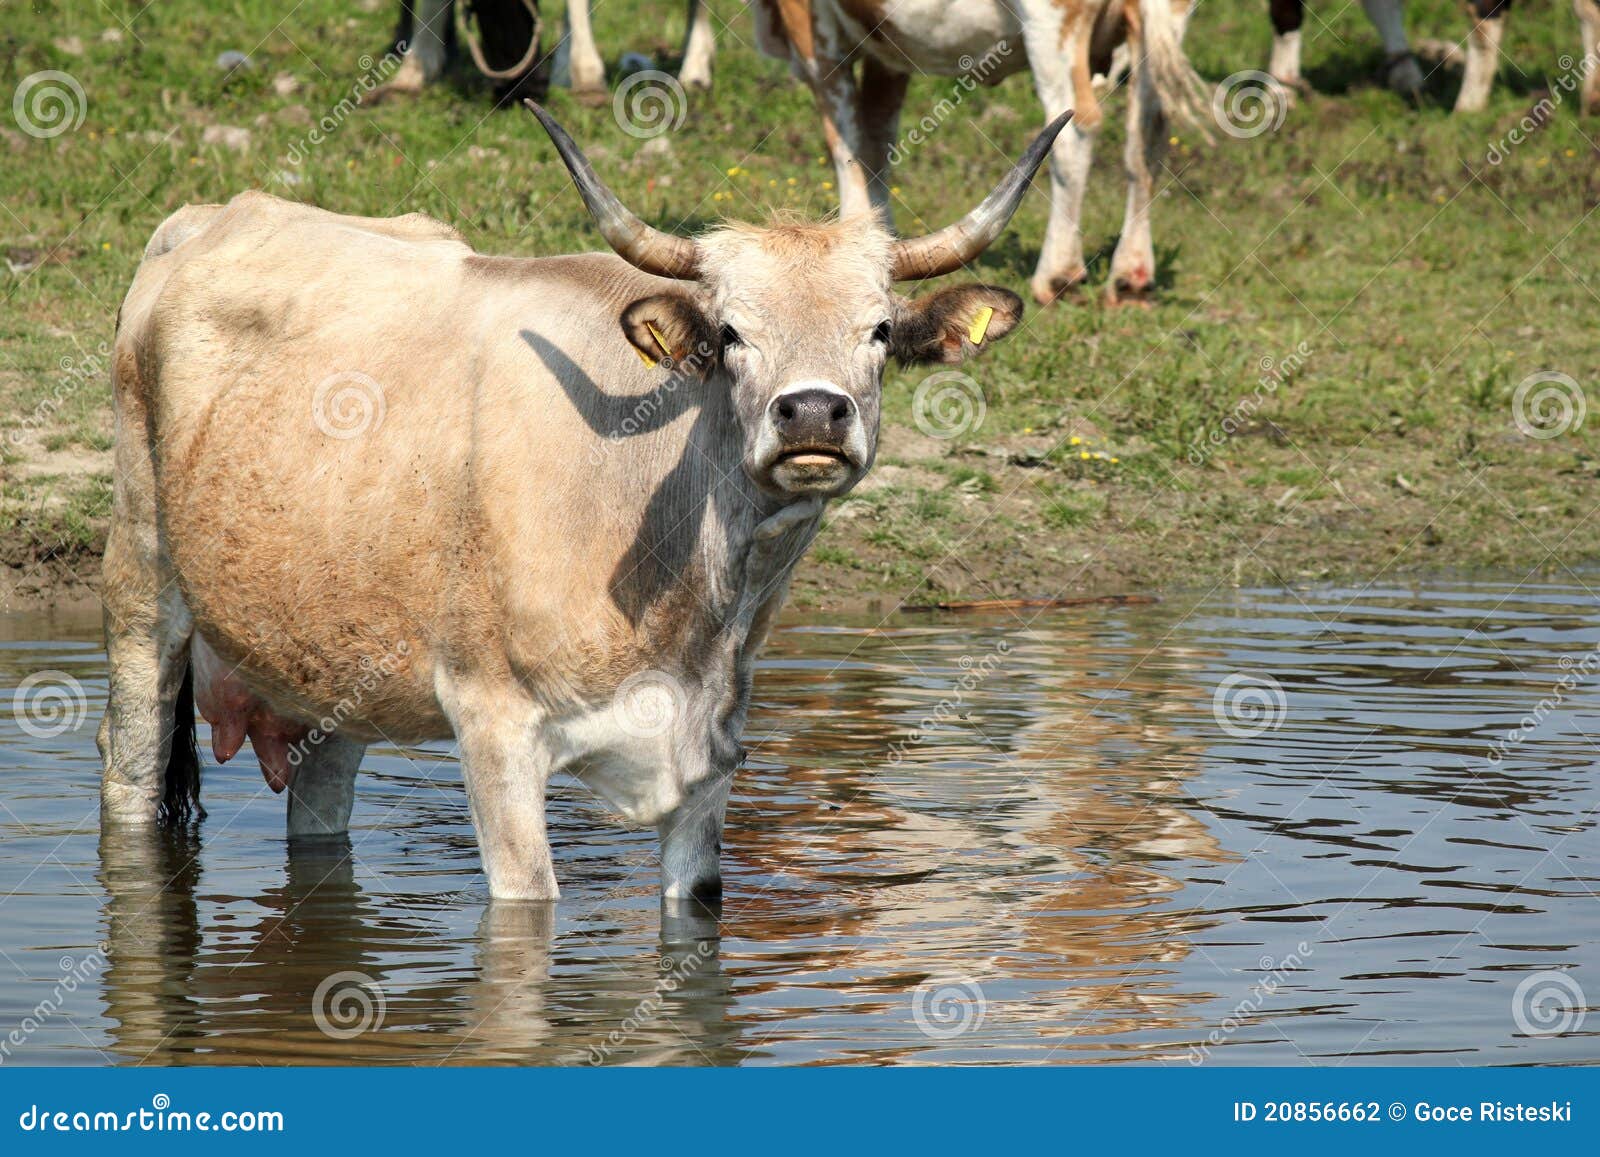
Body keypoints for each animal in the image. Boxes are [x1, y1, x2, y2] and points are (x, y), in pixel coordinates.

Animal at [96, 103, 1069, 902]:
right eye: (730, 334)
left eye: (879, 330)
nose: (812, 414)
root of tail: (208, 217)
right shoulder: (495, 731)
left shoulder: (709, 765)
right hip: (142, 584)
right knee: (129, 769)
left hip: (333, 663)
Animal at [750, 0, 1209, 305]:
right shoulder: (886, 49)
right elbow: (877, 141)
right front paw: (882, 233)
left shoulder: (813, 31)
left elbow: (844, 141)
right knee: (1148, 132)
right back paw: (1132, 275)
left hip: (1051, 25)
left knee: (1076, 125)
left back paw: (1057, 275)